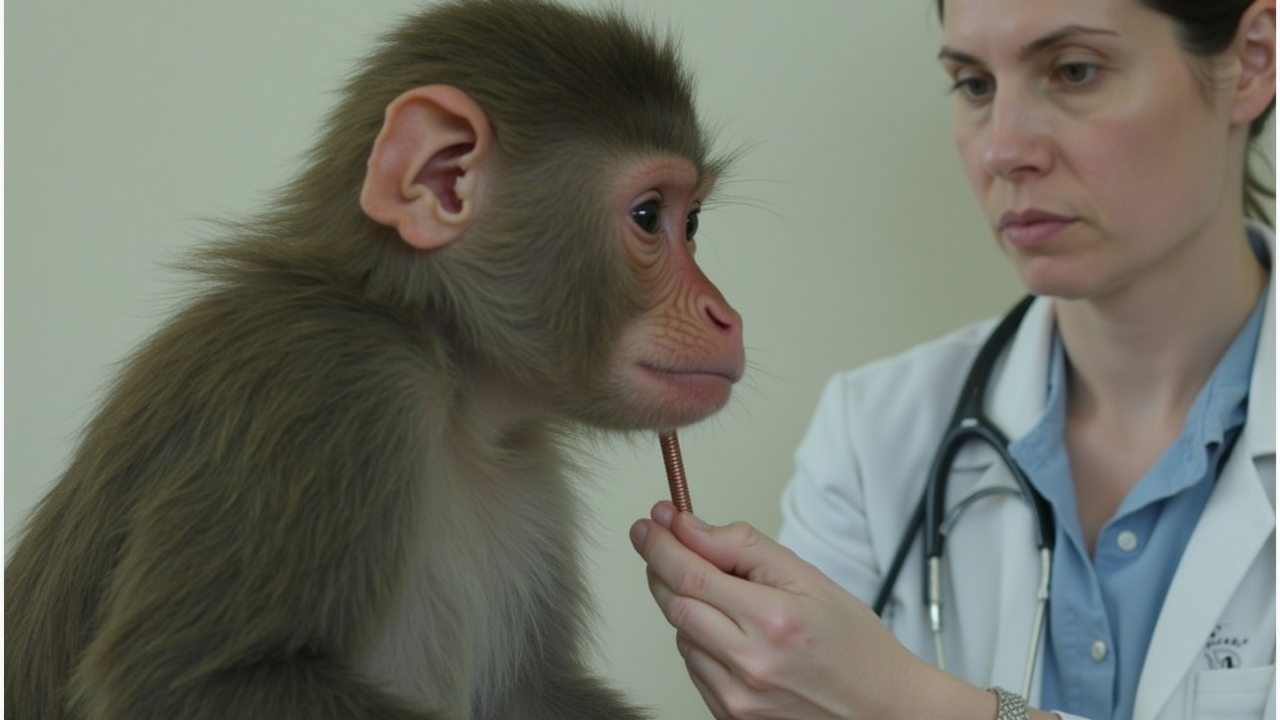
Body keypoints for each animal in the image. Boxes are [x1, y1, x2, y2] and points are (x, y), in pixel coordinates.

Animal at [3, 0, 745, 717]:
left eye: (693, 222)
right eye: (649, 216)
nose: (727, 316)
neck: (454, 382)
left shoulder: (526, 470)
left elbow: (530, 694)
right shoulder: (333, 379)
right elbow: (180, 683)